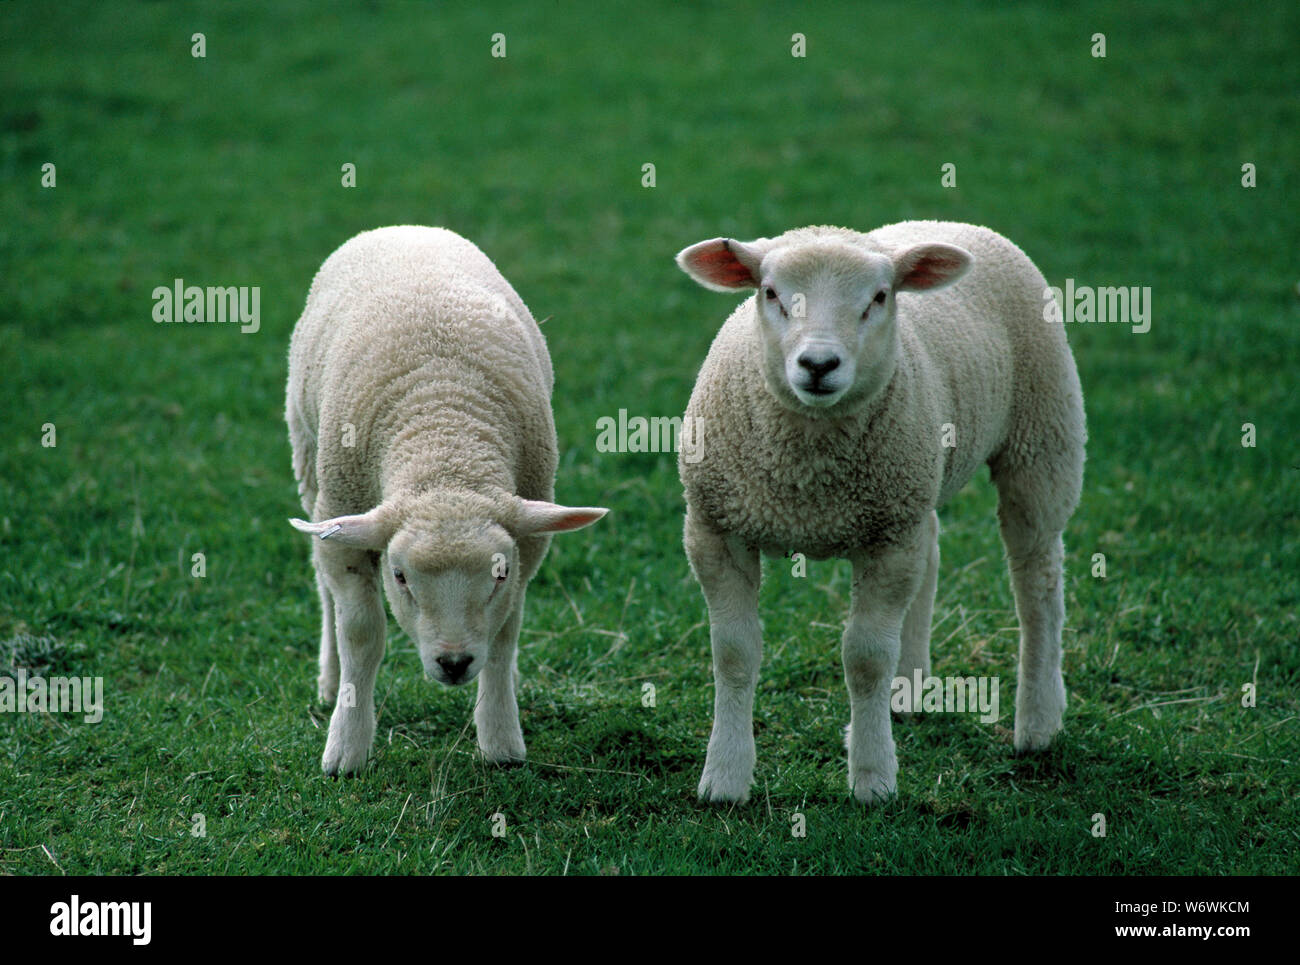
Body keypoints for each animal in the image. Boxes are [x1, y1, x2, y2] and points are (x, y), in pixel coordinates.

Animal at [286, 225, 607, 776]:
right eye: (399, 577)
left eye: (499, 574)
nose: (454, 663)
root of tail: (404, 227)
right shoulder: (346, 528)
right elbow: (362, 637)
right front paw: (346, 747)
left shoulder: (527, 548)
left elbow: (503, 637)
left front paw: (500, 740)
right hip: (311, 465)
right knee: (323, 583)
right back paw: (329, 681)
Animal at [675, 220, 1086, 804]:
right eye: (770, 292)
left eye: (879, 297)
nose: (818, 365)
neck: (808, 474)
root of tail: (955, 224)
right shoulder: (715, 529)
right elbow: (733, 653)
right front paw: (726, 778)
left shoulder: (886, 541)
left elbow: (866, 658)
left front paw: (873, 778)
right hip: (916, 488)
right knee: (932, 551)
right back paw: (909, 690)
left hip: (1042, 440)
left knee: (1039, 583)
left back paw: (1038, 722)